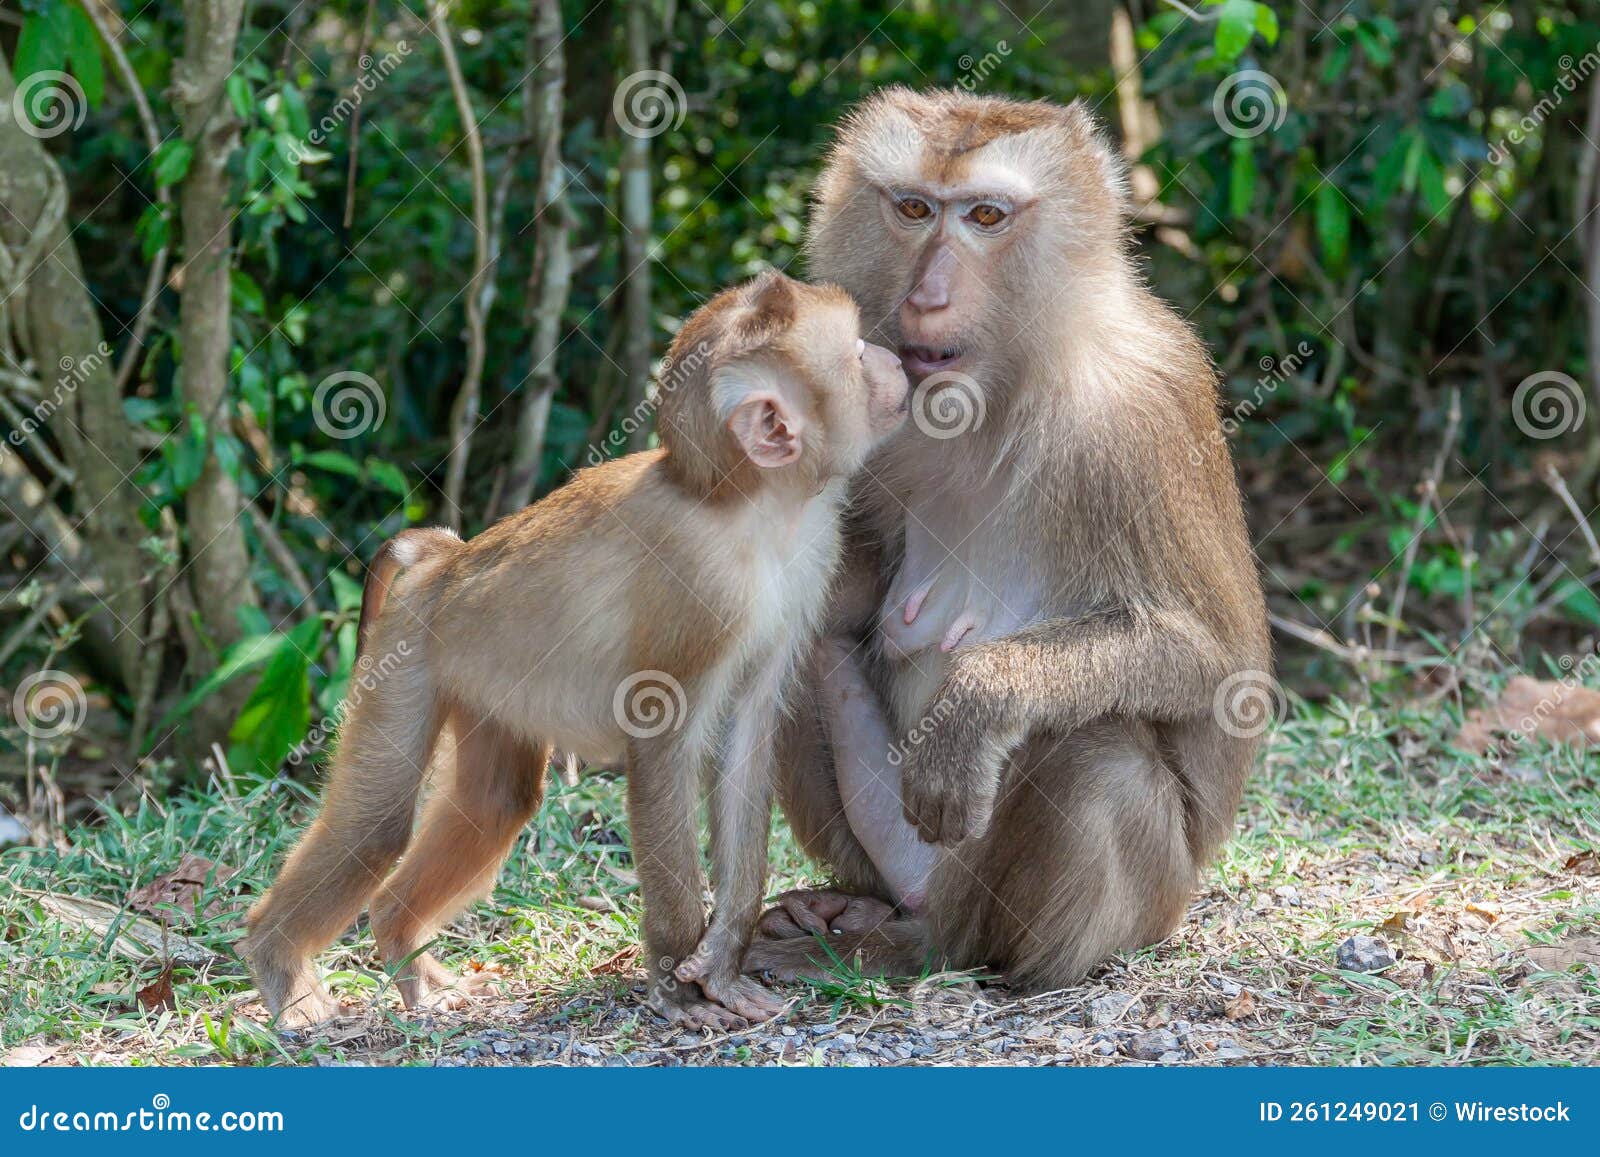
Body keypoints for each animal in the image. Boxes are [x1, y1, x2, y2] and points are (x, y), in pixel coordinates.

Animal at [243, 271, 911, 1030]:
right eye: (855, 354)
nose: (894, 361)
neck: (752, 509)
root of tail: (447, 563)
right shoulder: (702, 593)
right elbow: (660, 740)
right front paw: (679, 982)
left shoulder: (799, 579)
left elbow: (747, 739)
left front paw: (723, 958)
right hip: (405, 658)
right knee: (375, 828)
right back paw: (280, 962)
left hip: (482, 683)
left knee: (494, 803)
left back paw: (401, 941)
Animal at [741, 88, 1272, 990]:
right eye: (914, 209)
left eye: (986, 215)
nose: (926, 296)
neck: (1003, 390)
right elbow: (837, 597)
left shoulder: (1139, 412)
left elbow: (1219, 661)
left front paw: (981, 700)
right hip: (896, 847)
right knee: (806, 642)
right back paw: (860, 907)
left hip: (1116, 903)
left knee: (1096, 749)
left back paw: (932, 951)